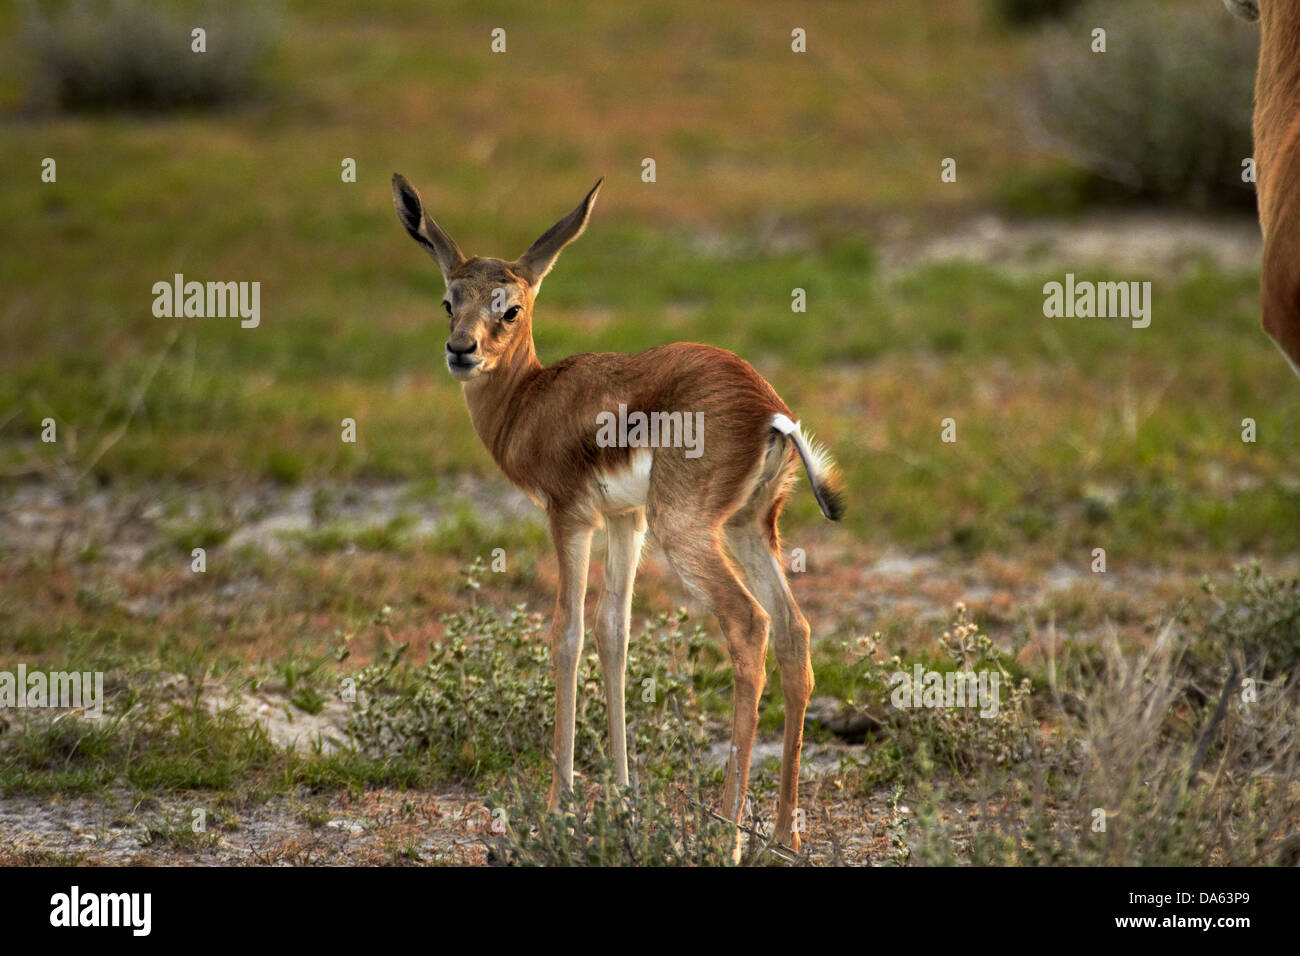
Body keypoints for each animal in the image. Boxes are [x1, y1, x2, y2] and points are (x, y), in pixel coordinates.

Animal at [391, 172, 844, 855]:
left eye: (509, 307)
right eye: (450, 301)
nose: (460, 350)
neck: (531, 399)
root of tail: (771, 409)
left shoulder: (570, 518)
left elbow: (568, 634)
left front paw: (559, 807)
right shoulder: (625, 521)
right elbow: (615, 633)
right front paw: (624, 800)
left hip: (686, 533)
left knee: (750, 625)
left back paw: (729, 836)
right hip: (744, 529)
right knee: (794, 631)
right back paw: (785, 833)